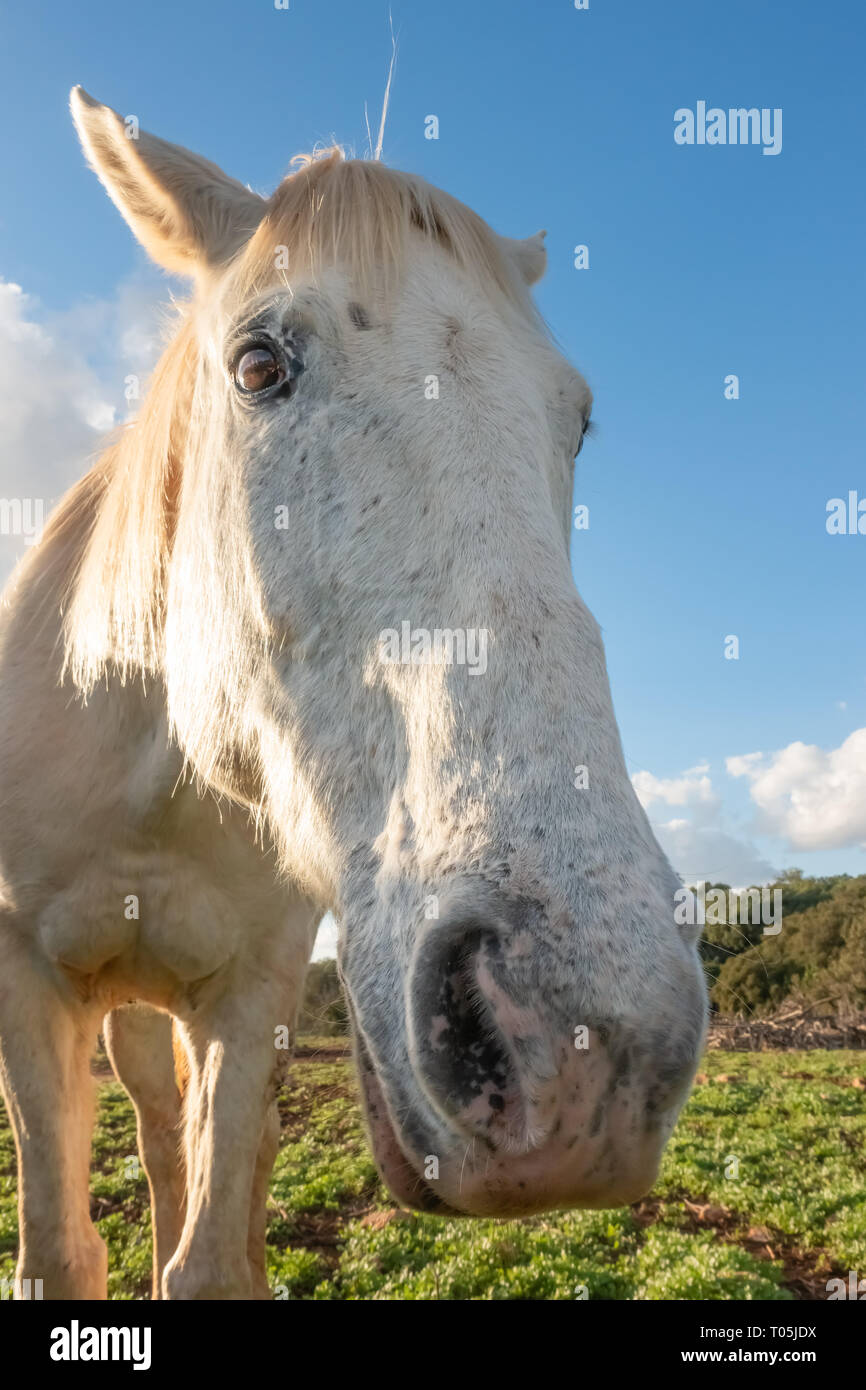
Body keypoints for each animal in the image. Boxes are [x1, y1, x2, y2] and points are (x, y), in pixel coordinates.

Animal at [0, 86, 707, 1300]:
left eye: (574, 420)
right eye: (257, 367)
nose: (583, 1042)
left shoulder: (256, 990)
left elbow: (210, 1247)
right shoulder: (26, 986)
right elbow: (60, 1249)